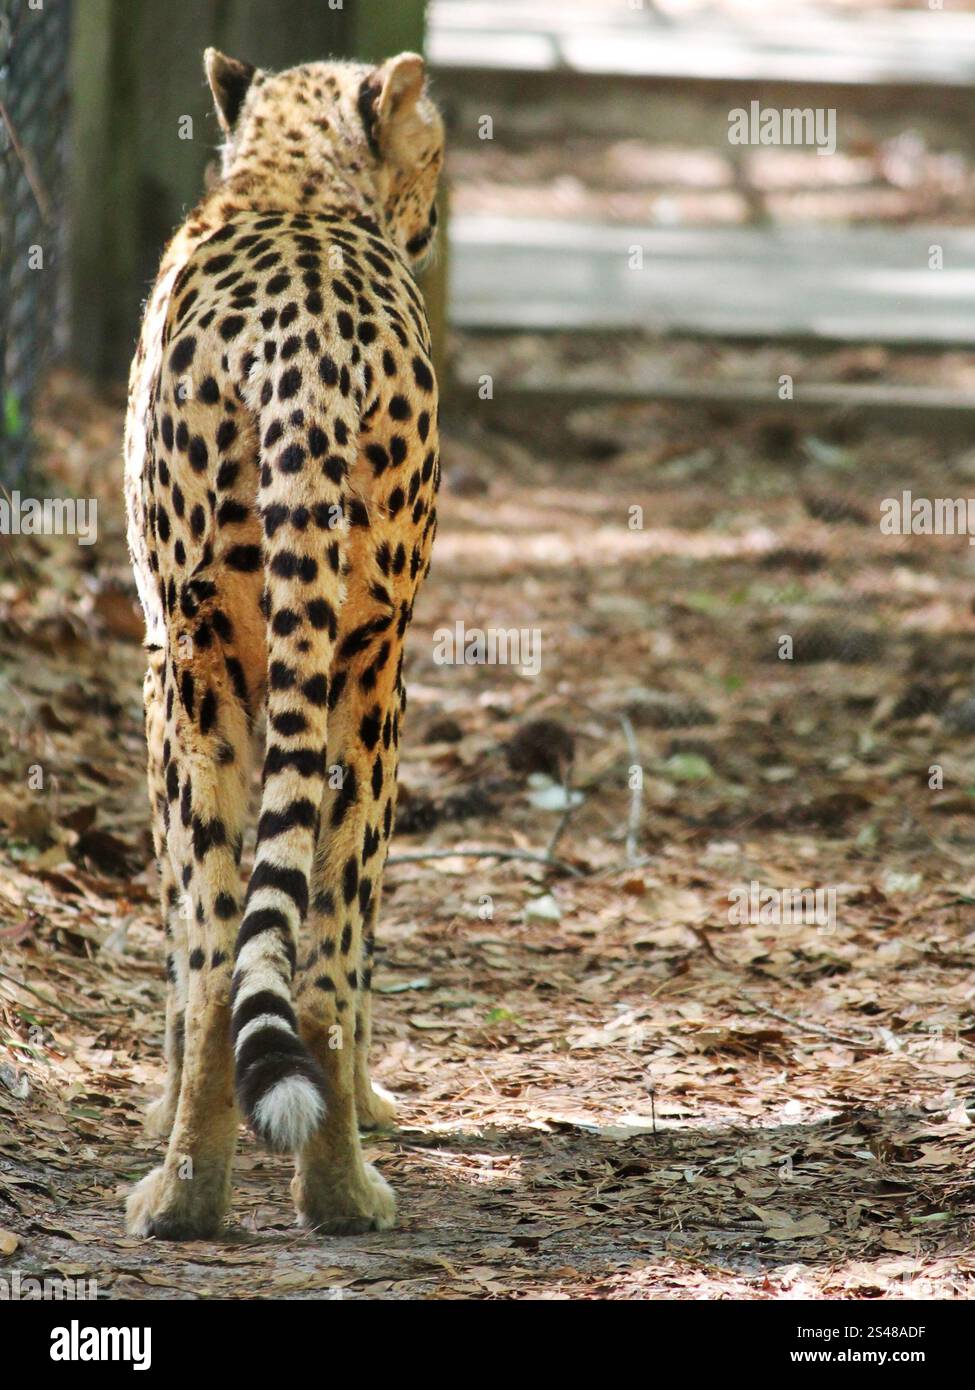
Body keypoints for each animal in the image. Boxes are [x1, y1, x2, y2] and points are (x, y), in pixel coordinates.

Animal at [122, 46, 443, 1239]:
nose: (432, 214)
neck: (293, 182)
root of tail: (302, 351)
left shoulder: (167, 668)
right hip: (356, 690)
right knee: (306, 962)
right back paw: (319, 1192)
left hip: (220, 680)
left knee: (228, 955)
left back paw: (188, 1190)